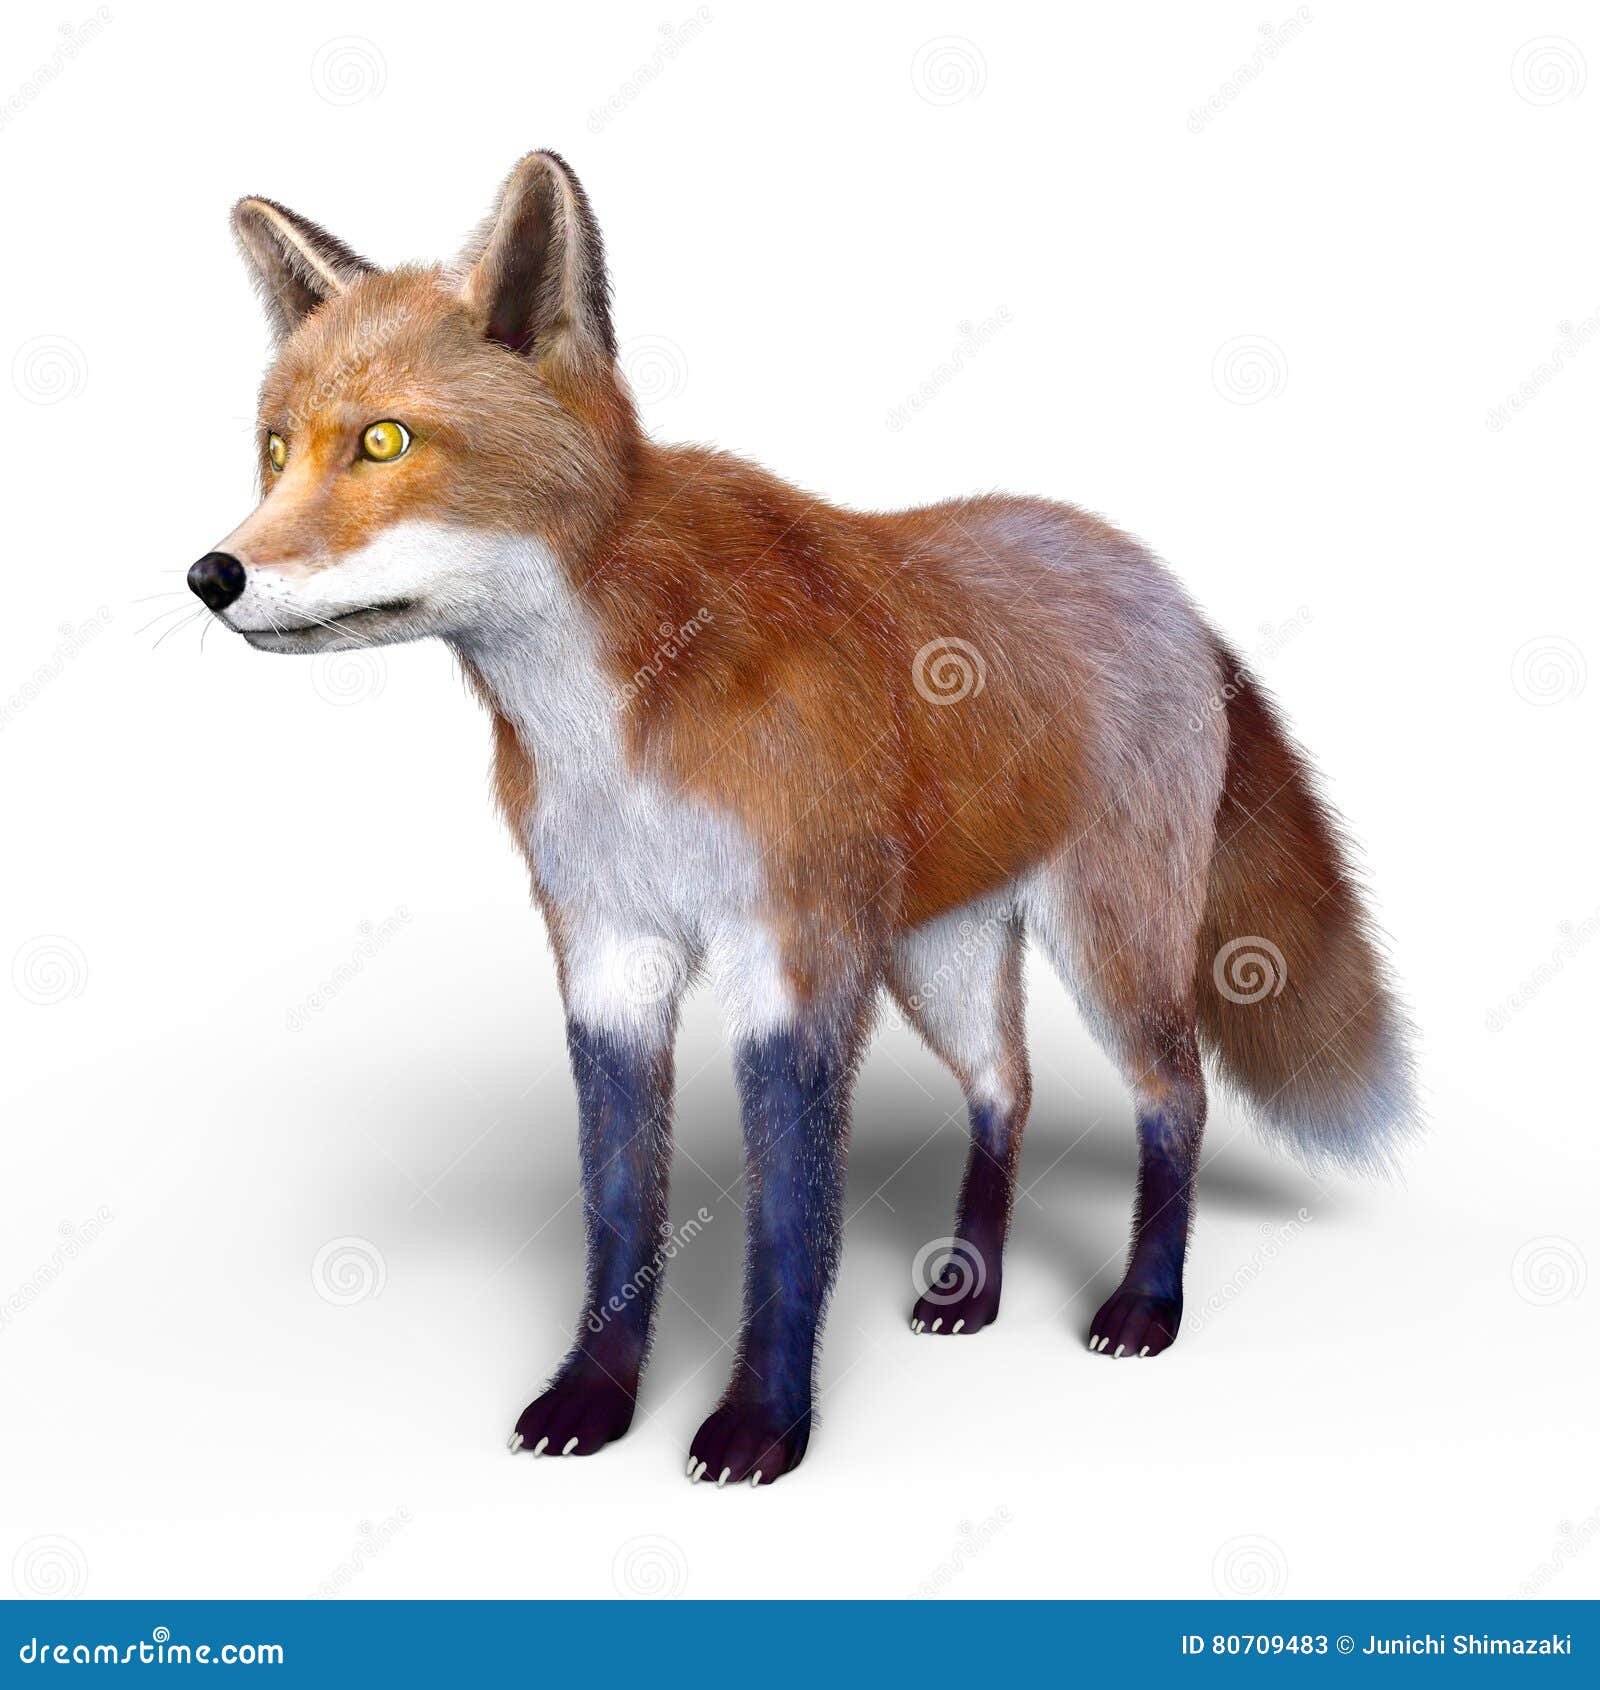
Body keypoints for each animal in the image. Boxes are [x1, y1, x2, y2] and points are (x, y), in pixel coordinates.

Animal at [191, 150, 1416, 1487]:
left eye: (384, 440)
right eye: (272, 452)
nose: (210, 575)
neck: (620, 720)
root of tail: (1157, 579)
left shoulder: (792, 960)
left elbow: (788, 1222)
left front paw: (761, 1425)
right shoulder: (608, 955)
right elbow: (618, 1215)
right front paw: (592, 1397)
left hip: (1107, 942)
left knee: (1175, 1096)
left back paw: (1146, 1305)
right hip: (938, 957)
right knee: (1009, 1087)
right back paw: (972, 1289)